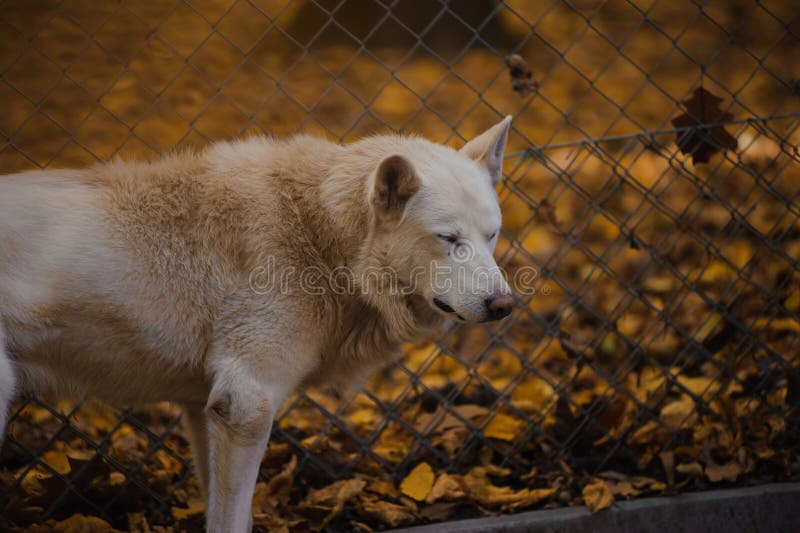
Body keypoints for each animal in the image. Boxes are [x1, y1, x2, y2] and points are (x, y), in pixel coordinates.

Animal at [0, 116, 514, 532]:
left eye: (491, 235)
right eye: (448, 239)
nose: (505, 304)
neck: (319, 233)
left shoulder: (205, 410)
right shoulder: (247, 403)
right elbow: (230, 523)